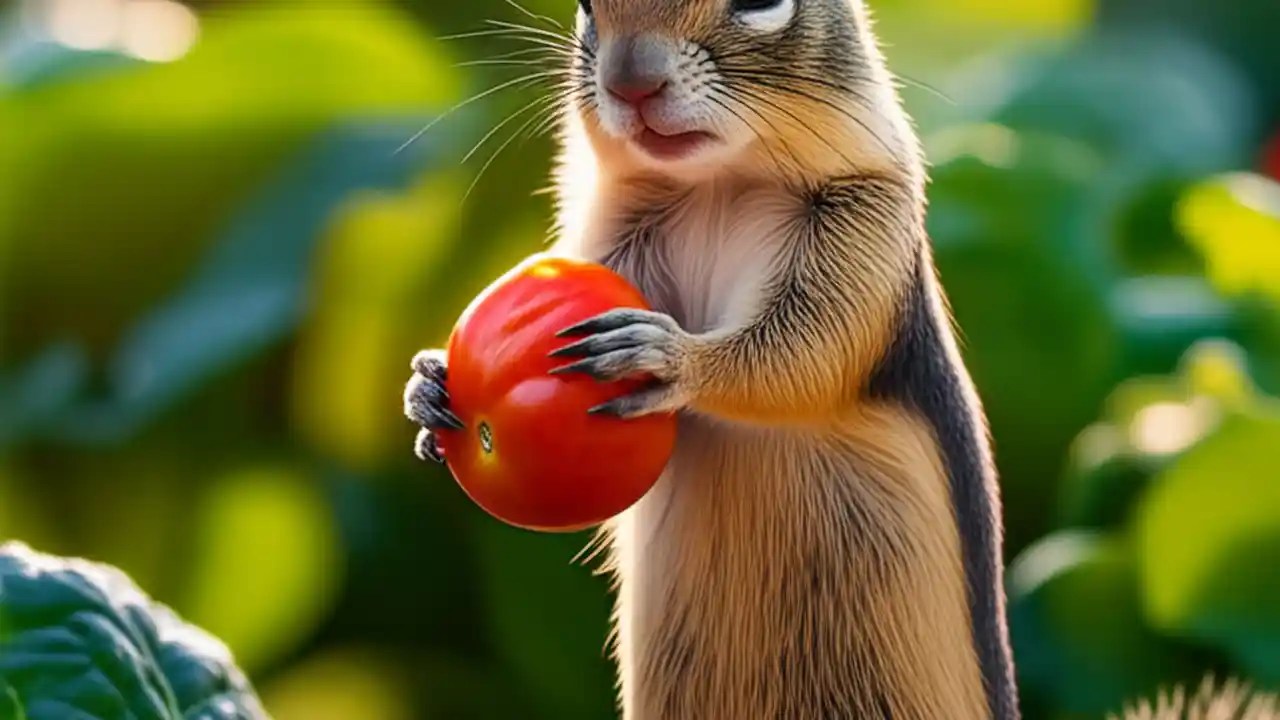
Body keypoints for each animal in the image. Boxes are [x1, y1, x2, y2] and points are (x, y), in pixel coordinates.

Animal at [405, 0, 1280, 718]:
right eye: (588, 2)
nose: (632, 82)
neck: (719, 185)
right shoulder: (604, 233)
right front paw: (430, 386)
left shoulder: (865, 233)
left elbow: (800, 352)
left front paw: (669, 358)